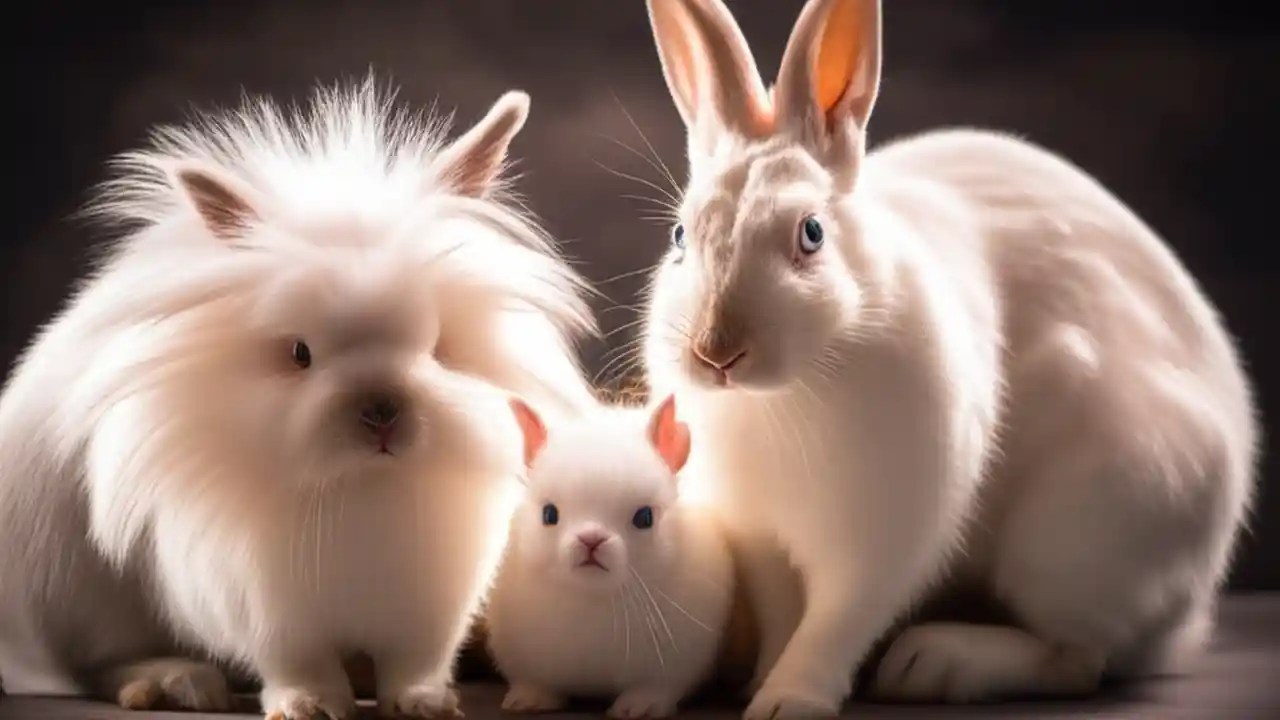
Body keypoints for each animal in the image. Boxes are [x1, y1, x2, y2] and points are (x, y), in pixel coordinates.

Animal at [0, 77, 598, 719]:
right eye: (299, 353)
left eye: (437, 344)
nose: (381, 412)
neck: (362, 487)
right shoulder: (267, 601)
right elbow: (296, 659)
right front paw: (310, 704)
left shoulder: (434, 597)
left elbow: (415, 659)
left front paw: (423, 702)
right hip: (80, 594)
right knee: (102, 664)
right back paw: (178, 682)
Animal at [485, 394, 733, 719]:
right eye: (549, 514)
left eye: (645, 517)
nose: (591, 540)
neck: (595, 597)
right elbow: (536, 682)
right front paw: (527, 702)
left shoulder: (674, 666)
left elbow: (655, 689)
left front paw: (638, 709)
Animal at [637, 1, 1258, 718]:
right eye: (679, 236)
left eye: (811, 234)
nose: (716, 352)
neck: (781, 397)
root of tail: (1185, 620)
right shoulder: (762, 542)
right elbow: (783, 617)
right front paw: (762, 682)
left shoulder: (881, 542)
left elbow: (834, 625)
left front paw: (789, 700)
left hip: (1084, 528)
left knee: (1078, 658)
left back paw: (935, 664)